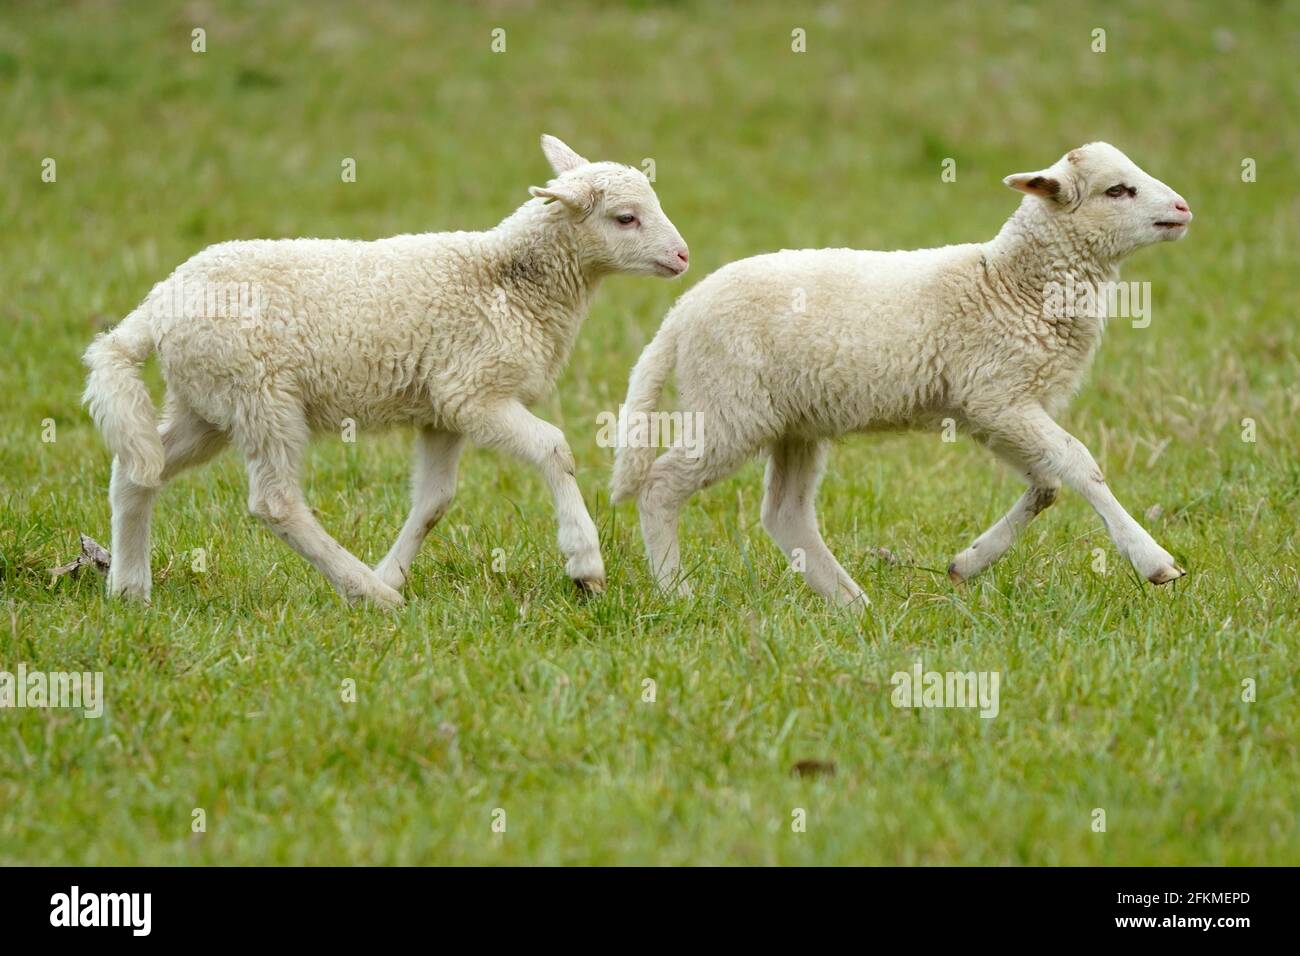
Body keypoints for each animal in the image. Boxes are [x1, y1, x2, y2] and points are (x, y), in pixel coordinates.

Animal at [84, 134, 689, 606]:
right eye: (625, 218)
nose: (683, 256)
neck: (507, 279)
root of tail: (156, 307)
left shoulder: (442, 409)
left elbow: (434, 502)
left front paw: (393, 569)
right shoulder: (474, 391)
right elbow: (554, 448)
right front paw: (585, 564)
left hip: (207, 402)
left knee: (140, 469)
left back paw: (130, 589)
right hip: (258, 393)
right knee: (275, 503)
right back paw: (366, 593)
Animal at [611, 142, 1192, 606]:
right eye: (1118, 190)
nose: (1183, 209)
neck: (1009, 282)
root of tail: (680, 314)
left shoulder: (992, 408)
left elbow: (1047, 482)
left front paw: (968, 562)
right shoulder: (998, 394)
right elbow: (1079, 463)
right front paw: (1154, 561)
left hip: (793, 421)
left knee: (785, 514)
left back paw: (852, 604)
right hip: (729, 407)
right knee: (660, 486)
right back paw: (676, 591)